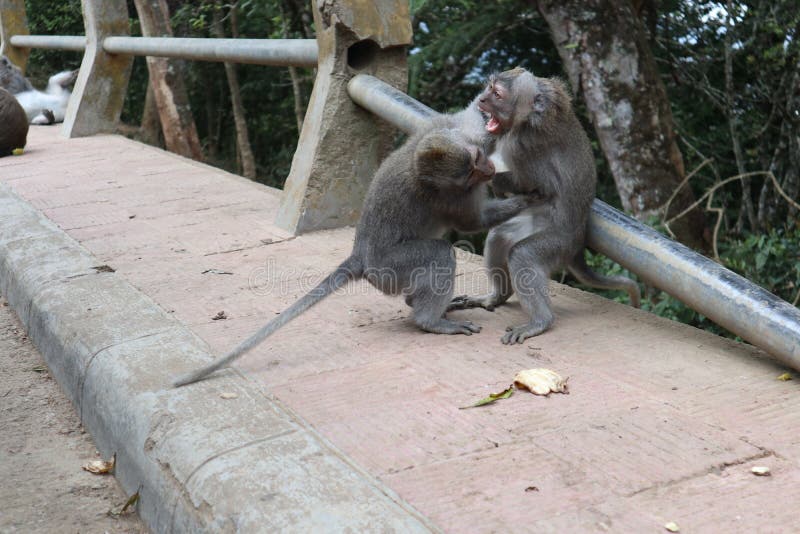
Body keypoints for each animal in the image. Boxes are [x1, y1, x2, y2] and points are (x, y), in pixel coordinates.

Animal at [173, 128, 541, 387]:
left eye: (478, 158)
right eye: (470, 172)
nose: (488, 170)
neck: (416, 164)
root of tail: (360, 255)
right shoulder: (452, 196)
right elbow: (472, 223)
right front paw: (528, 199)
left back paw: (422, 306)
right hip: (390, 269)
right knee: (439, 254)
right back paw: (430, 320)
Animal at [448, 67, 640, 344]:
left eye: (497, 94)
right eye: (488, 88)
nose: (482, 99)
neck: (526, 122)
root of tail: (577, 245)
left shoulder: (522, 146)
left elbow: (538, 186)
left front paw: (494, 182)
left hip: (558, 244)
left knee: (523, 255)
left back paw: (540, 322)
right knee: (499, 236)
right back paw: (496, 297)